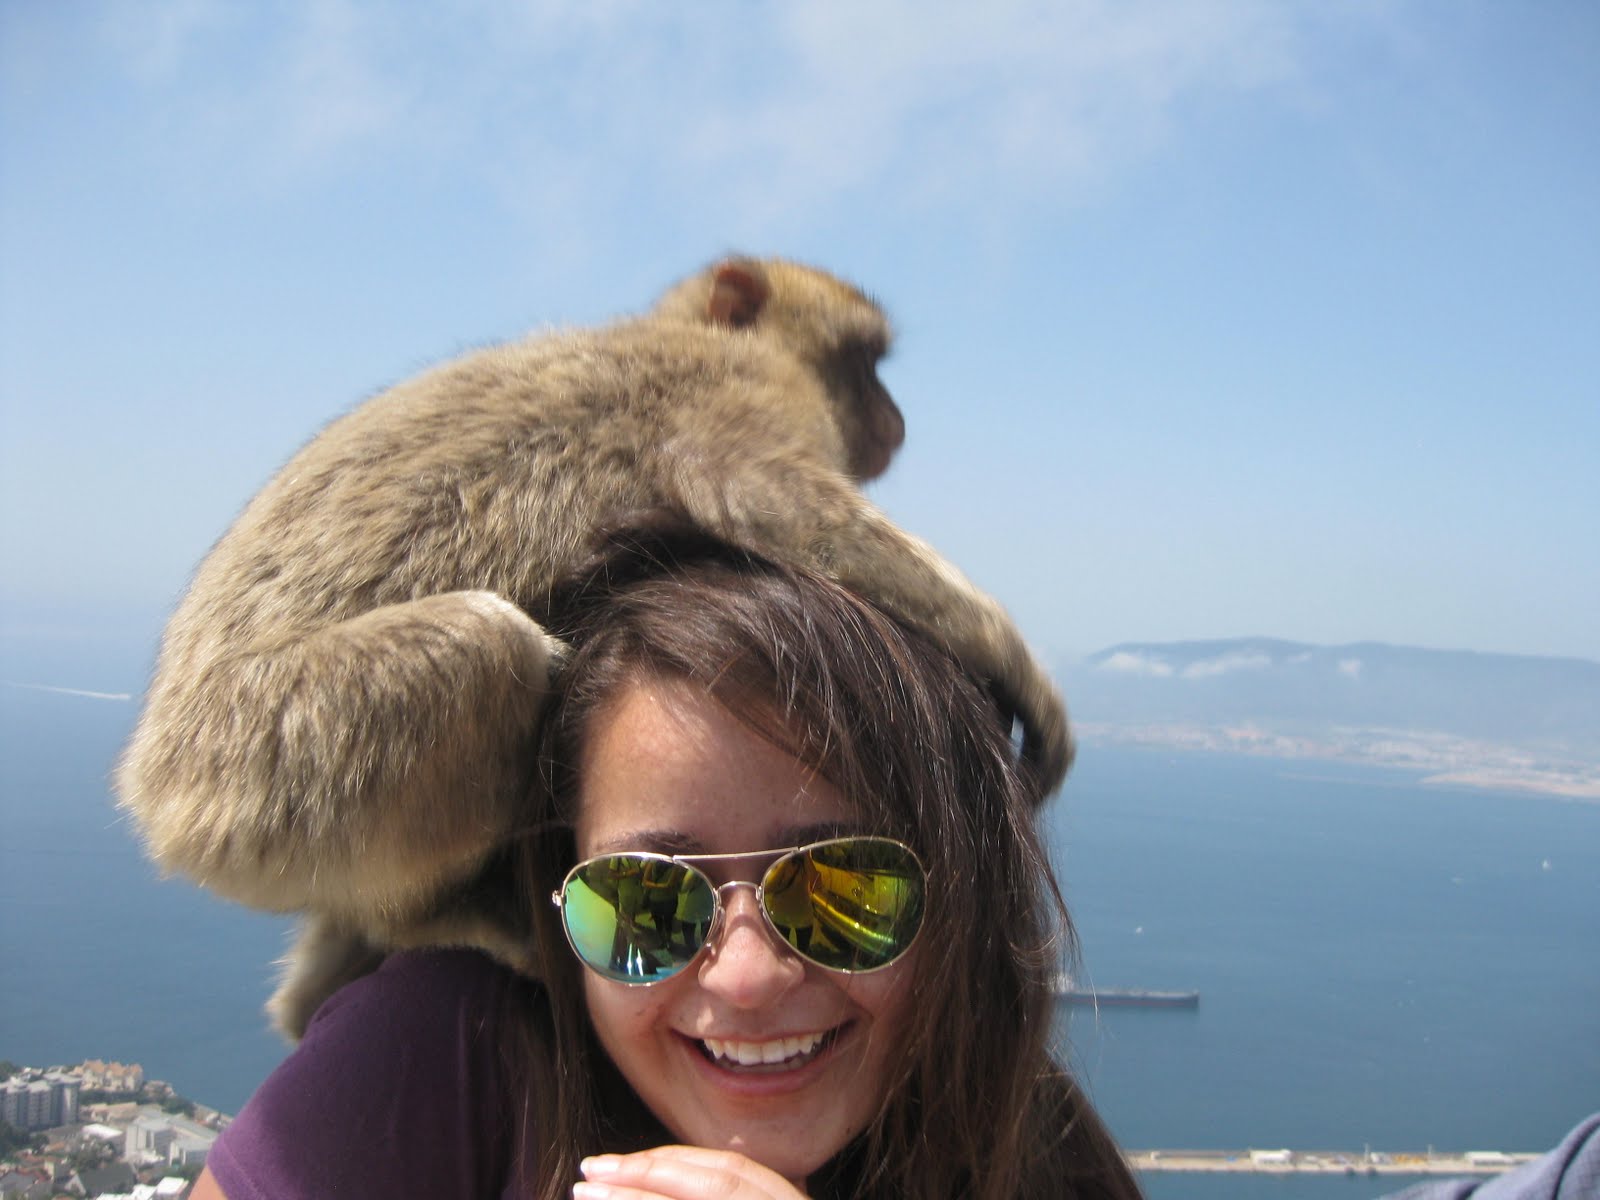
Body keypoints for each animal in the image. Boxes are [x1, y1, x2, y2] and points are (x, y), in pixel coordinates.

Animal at [116, 256, 1072, 1036]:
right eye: (866, 364)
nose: (896, 417)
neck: (695, 334)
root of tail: (151, 792)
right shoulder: (738, 393)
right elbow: (768, 500)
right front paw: (1021, 667)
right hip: (269, 764)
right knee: (489, 651)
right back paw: (429, 920)